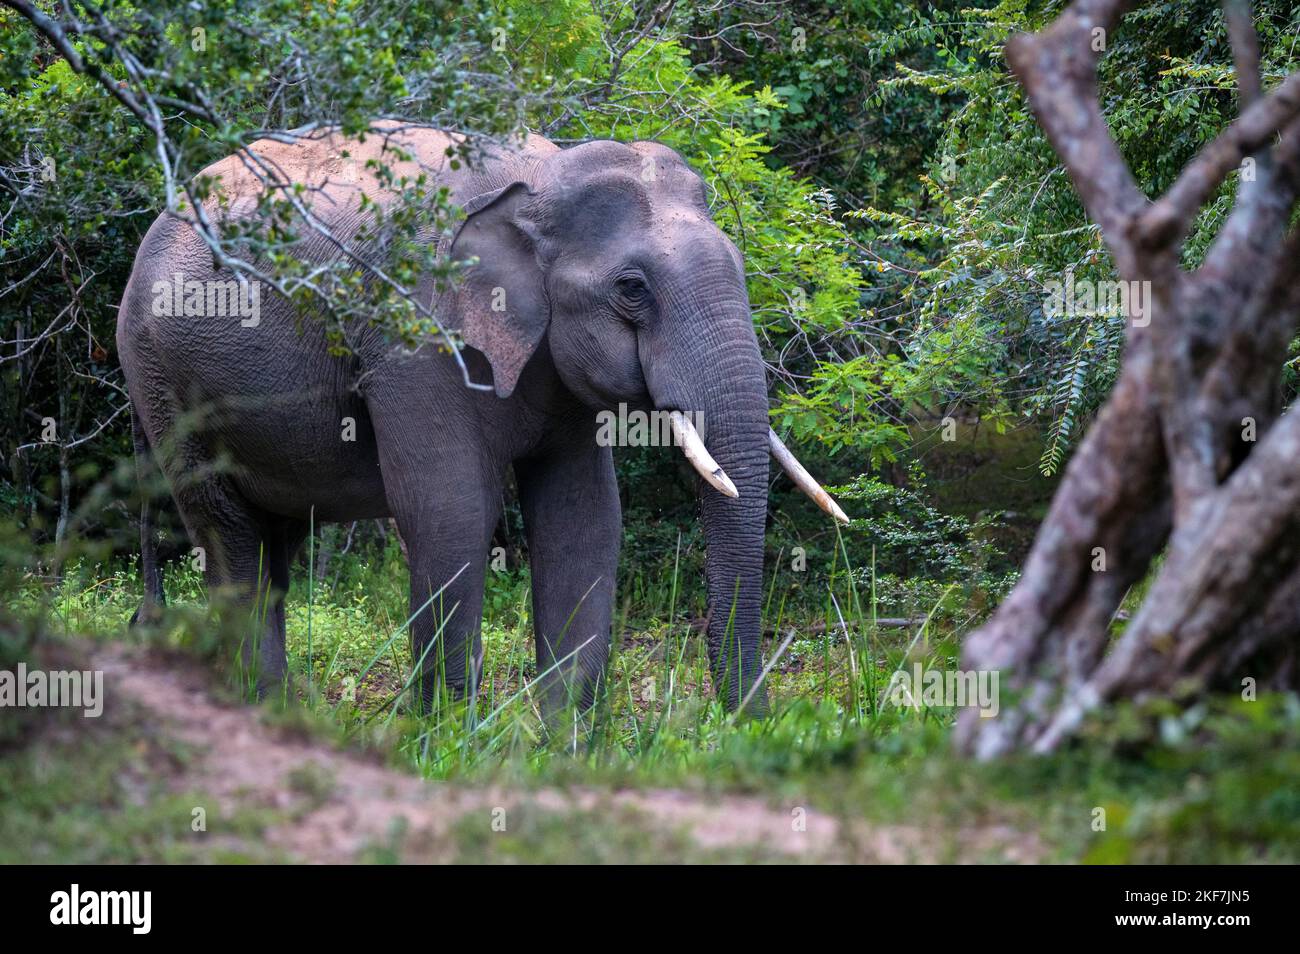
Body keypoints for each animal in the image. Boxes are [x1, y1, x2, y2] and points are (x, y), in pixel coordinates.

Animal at [116, 121, 847, 717]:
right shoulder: (414, 337)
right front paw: (445, 738)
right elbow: (450, 507)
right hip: (159, 375)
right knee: (230, 536)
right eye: (631, 289)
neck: (540, 177)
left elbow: (583, 515)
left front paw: (563, 743)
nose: (750, 723)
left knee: (277, 543)